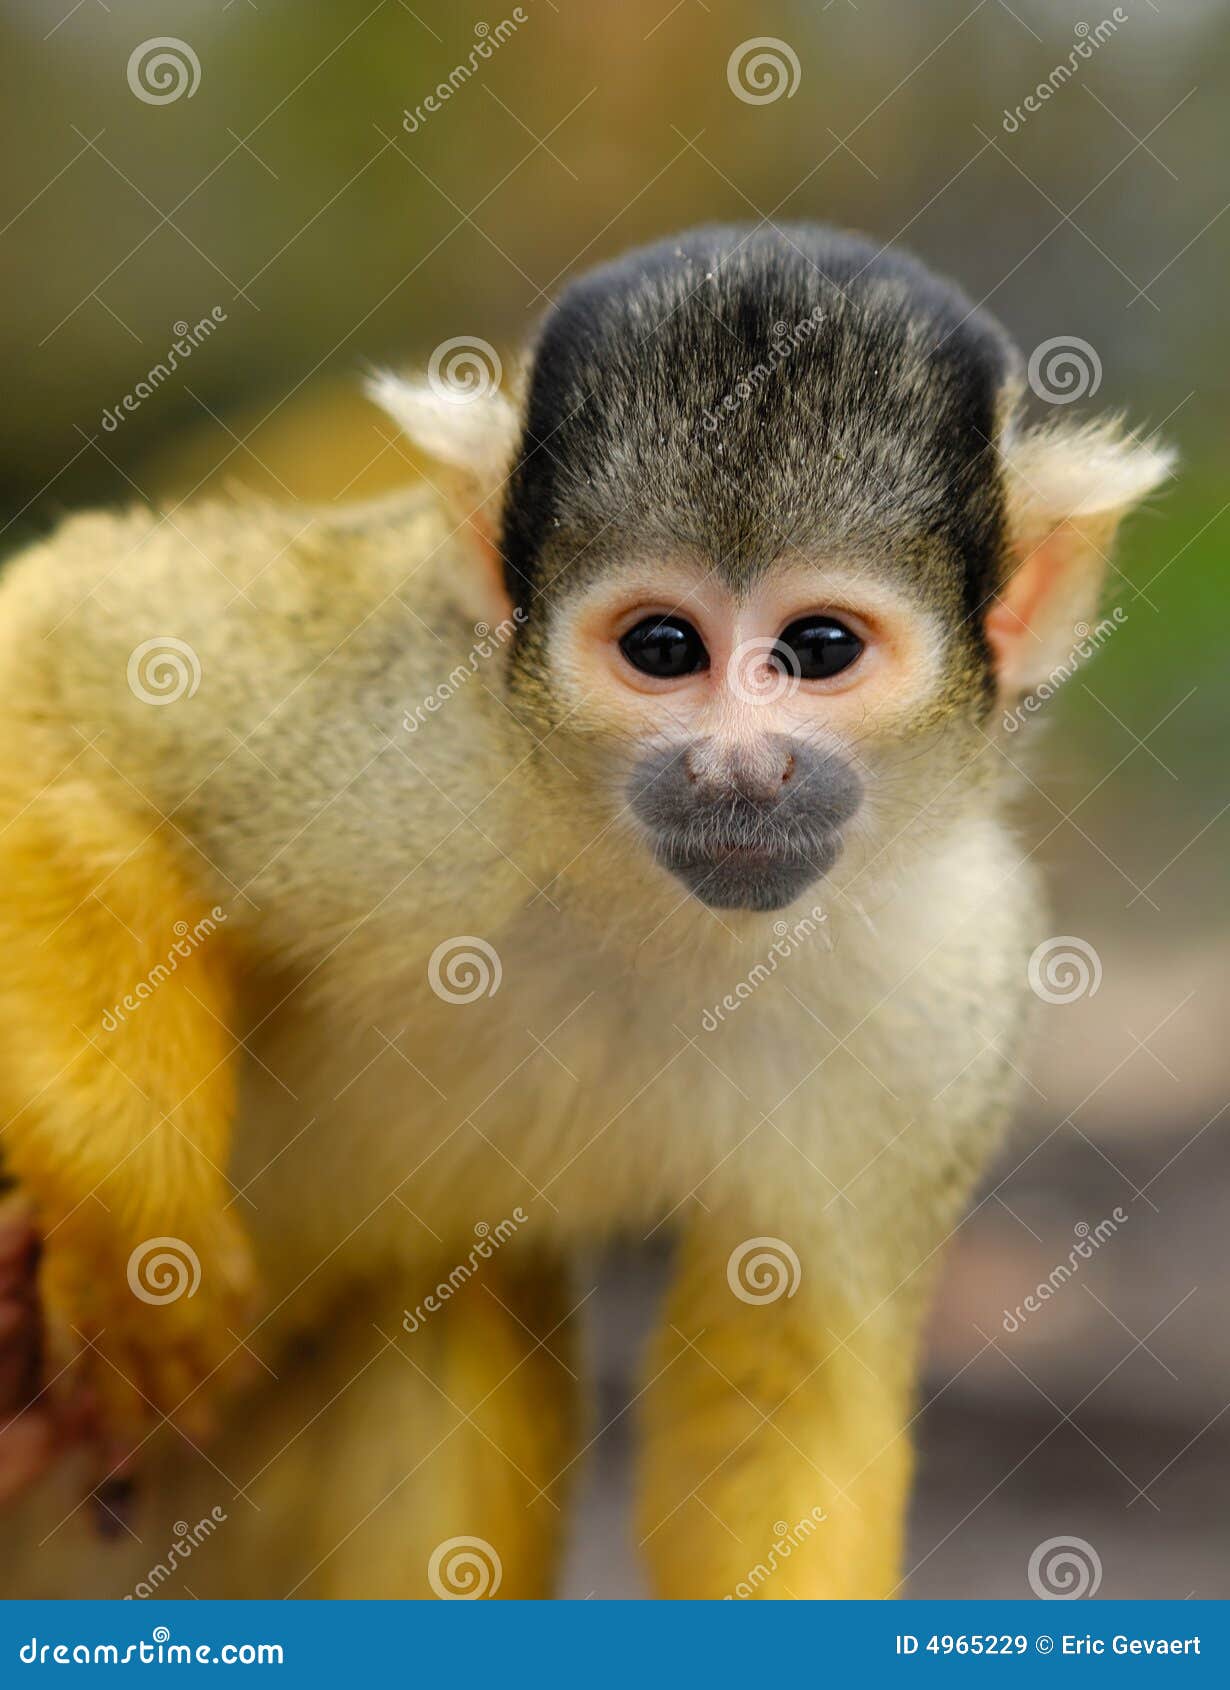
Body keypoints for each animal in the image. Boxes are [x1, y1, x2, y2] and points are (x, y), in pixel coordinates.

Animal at [0, 223, 1170, 1599]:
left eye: (819, 648)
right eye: (664, 647)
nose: (737, 771)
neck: (656, 911)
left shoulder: (953, 974)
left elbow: (785, 1401)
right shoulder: (411, 732)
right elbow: (58, 660)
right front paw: (145, 1250)